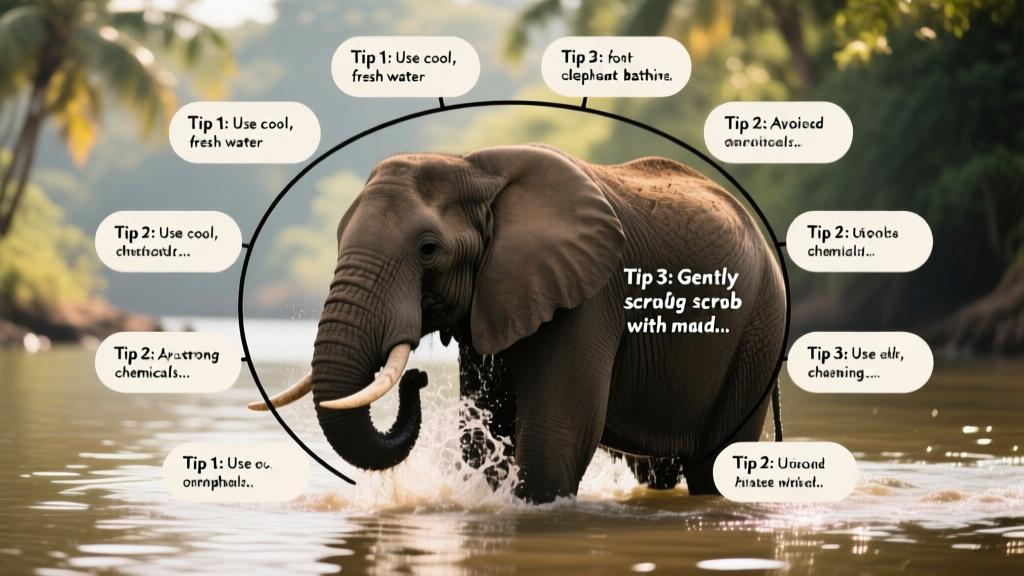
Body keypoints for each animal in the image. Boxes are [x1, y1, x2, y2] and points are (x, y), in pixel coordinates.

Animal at [249, 143, 787, 503]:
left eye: (428, 250)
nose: (417, 378)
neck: (473, 168)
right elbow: (483, 439)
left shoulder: (589, 297)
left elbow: (554, 439)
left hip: (758, 330)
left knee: (715, 464)